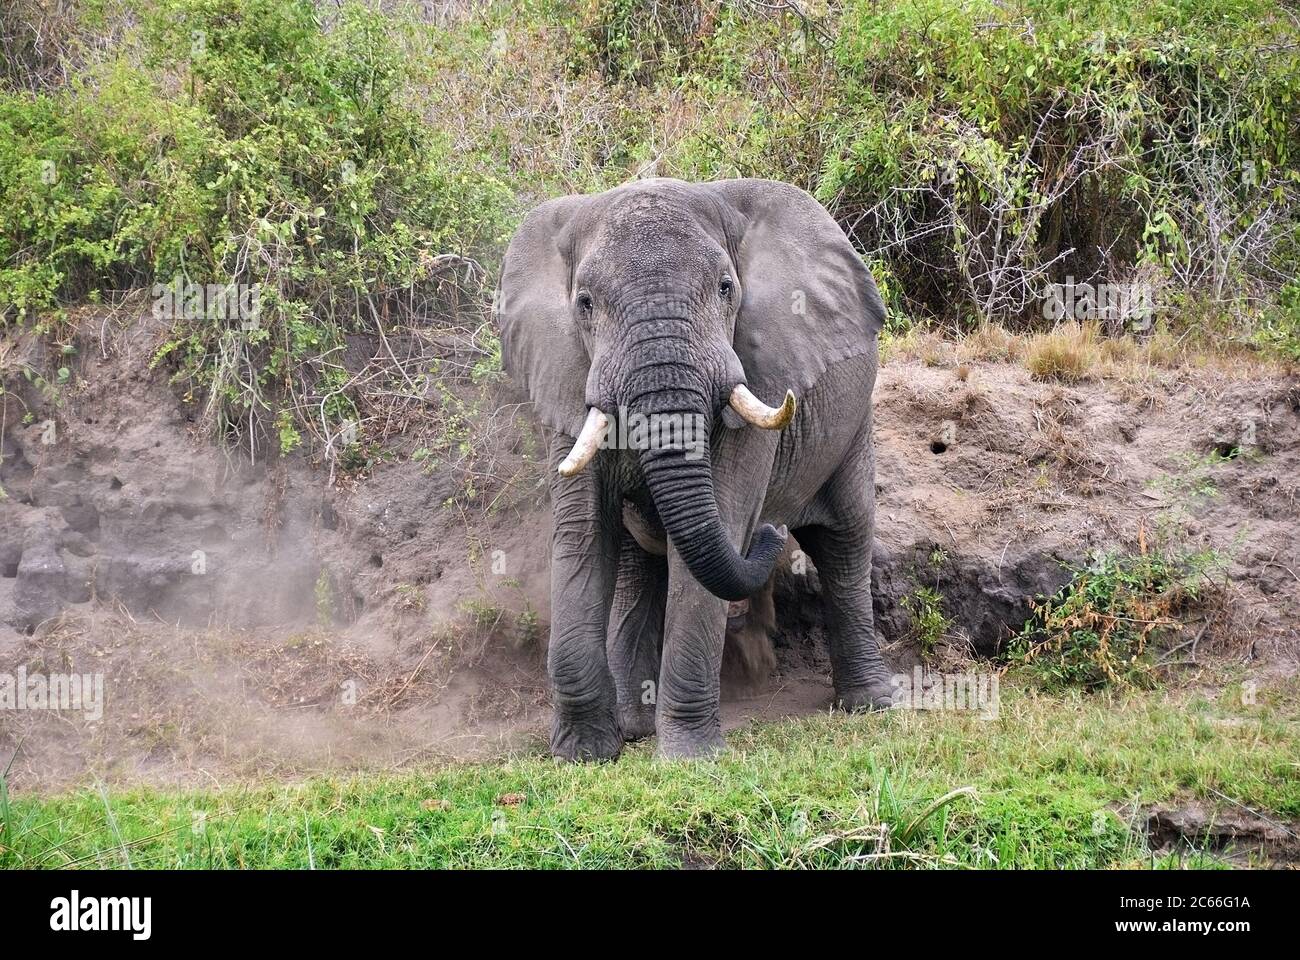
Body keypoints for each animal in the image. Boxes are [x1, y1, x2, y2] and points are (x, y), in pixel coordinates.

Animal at [497, 177, 894, 761]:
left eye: (727, 288)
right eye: (585, 304)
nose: (770, 532)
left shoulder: (761, 367)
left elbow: (724, 516)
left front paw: (690, 758)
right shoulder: (567, 377)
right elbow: (584, 532)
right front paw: (583, 754)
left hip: (855, 420)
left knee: (844, 540)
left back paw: (871, 703)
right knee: (640, 568)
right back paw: (634, 723)